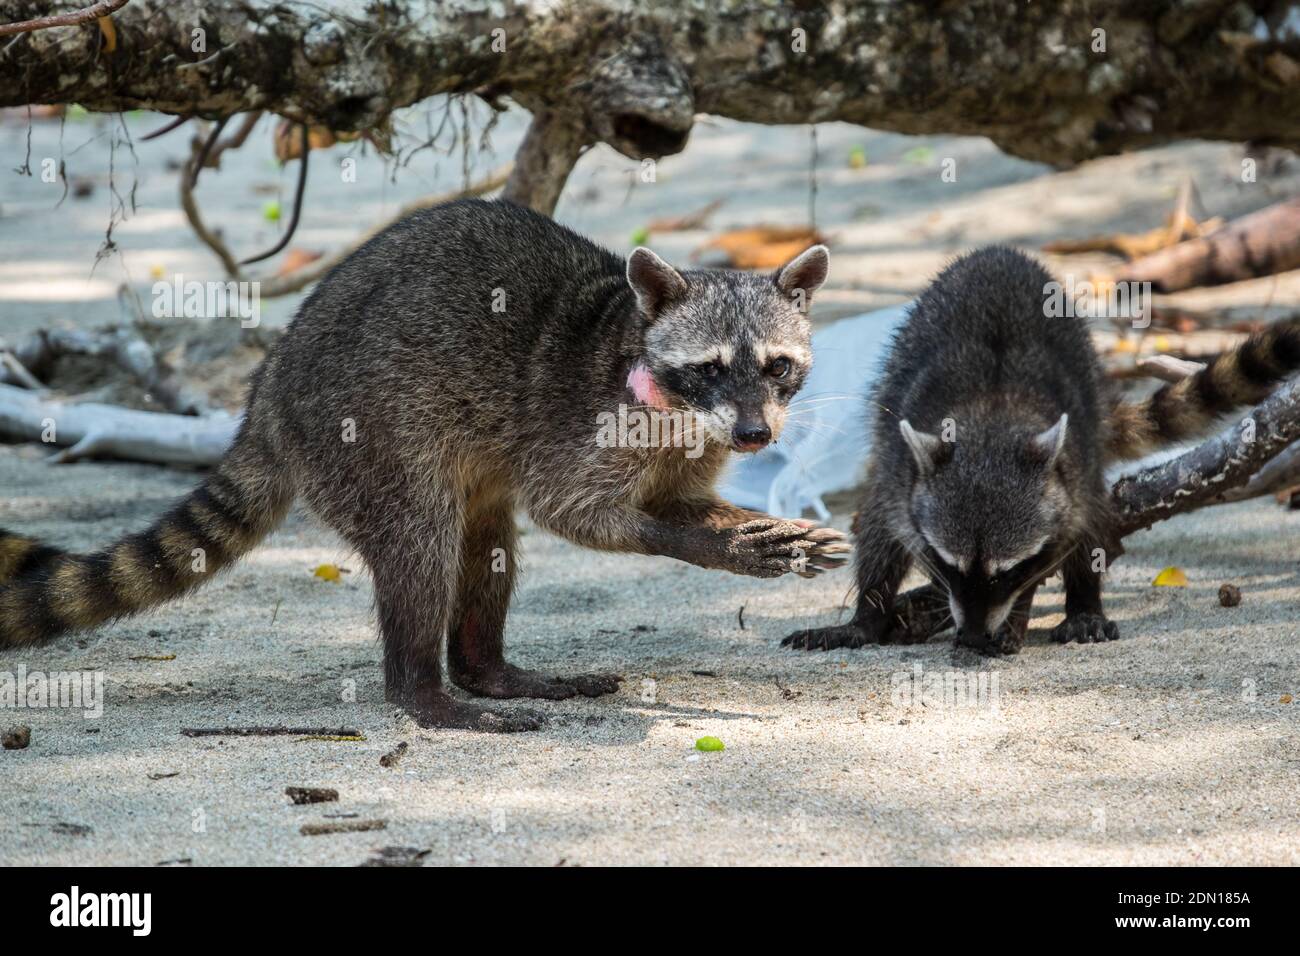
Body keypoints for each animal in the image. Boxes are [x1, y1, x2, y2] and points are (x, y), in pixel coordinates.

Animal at [0, 199, 847, 730]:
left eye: (777, 367)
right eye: (708, 368)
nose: (754, 436)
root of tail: (269, 389)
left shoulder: (690, 445)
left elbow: (670, 503)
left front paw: (744, 527)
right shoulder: (584, 423)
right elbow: (578, 514)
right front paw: (711, 544)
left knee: (487, 543)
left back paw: (485, 667)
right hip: (368, 433)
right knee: (422, 545)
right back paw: (428, 693)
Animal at [784, 245, 1300, 655]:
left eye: (1007, 572)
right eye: (948, 564)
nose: (975, 635)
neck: (989, 421)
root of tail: (998, 251)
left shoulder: (1073, 462)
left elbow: (1071, 536)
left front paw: (1022, 612)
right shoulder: (898, 462)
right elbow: (882, 531)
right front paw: (868, 615)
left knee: (1094, 518)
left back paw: (1083, 603)